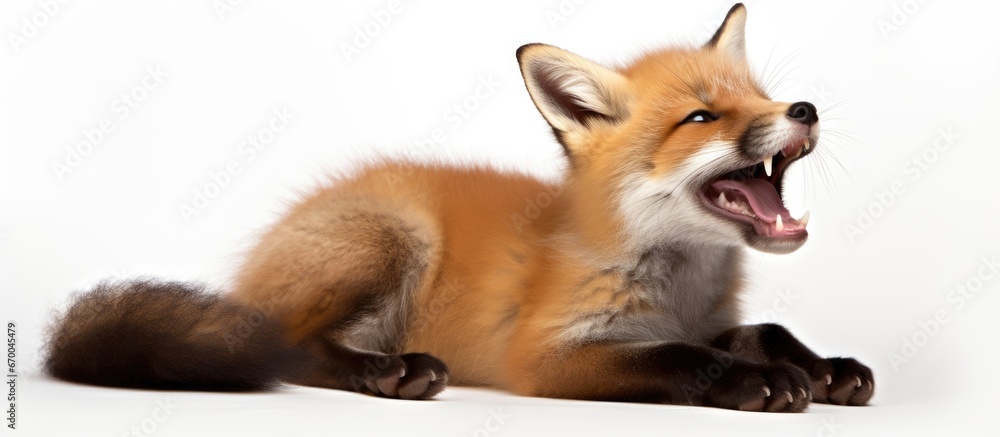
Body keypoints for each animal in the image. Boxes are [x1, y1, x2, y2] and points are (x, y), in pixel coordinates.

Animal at [45, 4, 873, 412]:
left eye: (761, 97)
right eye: (701, 117)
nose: (803, 109)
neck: (680, 286)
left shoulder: (704, 318)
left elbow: (765, 330)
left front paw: (821, 366)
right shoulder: (546, 355)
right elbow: (684, 358)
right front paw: (755, 381)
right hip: (392, 241)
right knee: (289, 347)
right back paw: (390, 371)